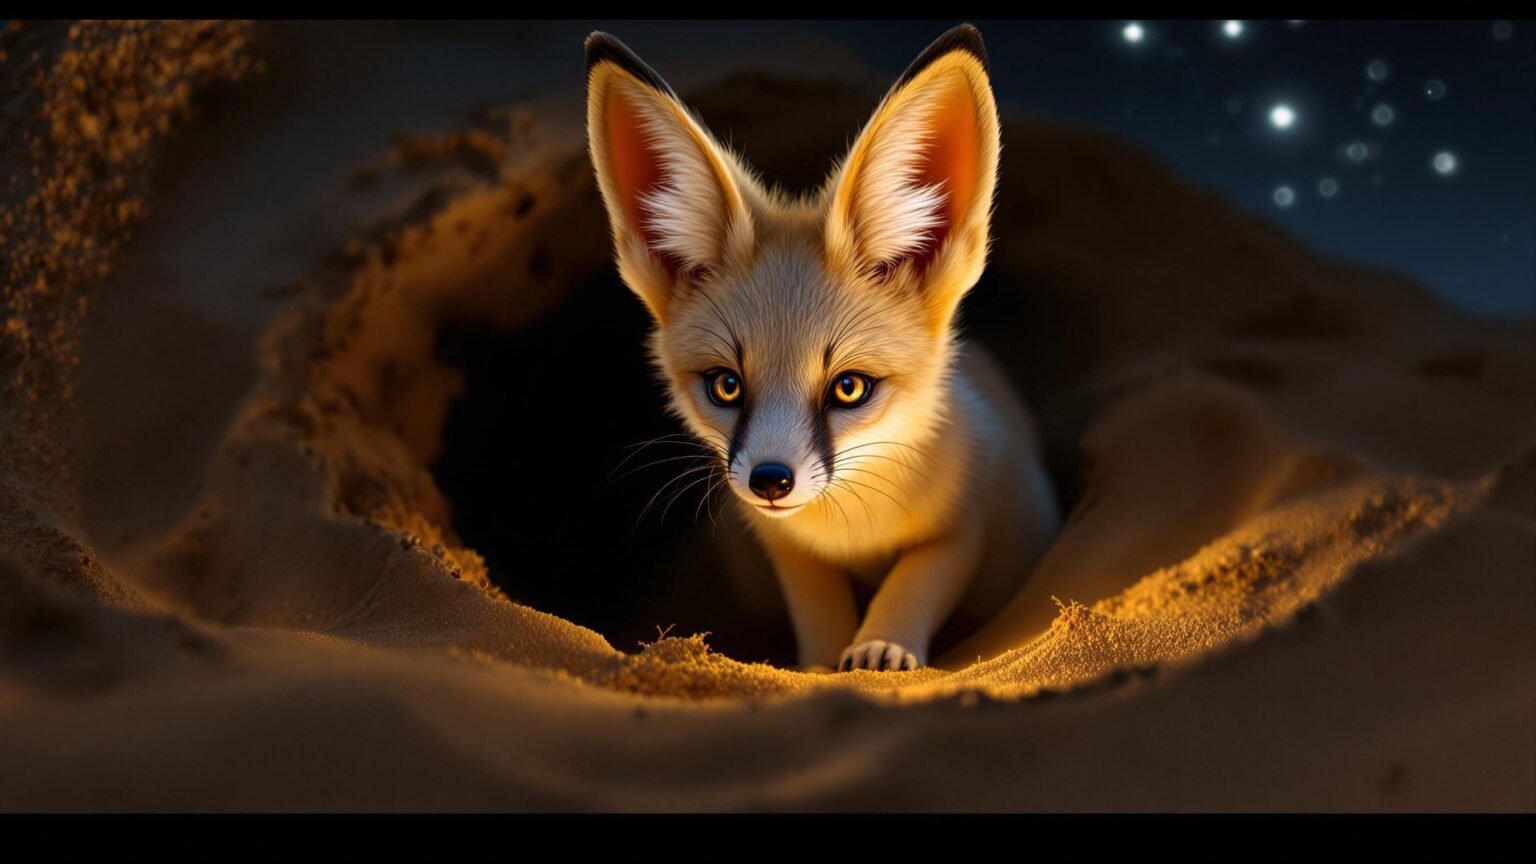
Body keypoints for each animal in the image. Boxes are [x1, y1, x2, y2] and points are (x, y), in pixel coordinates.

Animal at [584, 24, 1060, 672]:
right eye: (726, 386)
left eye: (849, 387)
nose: (770, 481)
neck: (853, 532)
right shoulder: (788, 549)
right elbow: (818, 609)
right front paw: (817, 667)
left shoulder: (963, 523)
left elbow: (916, 578)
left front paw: (883, 648)